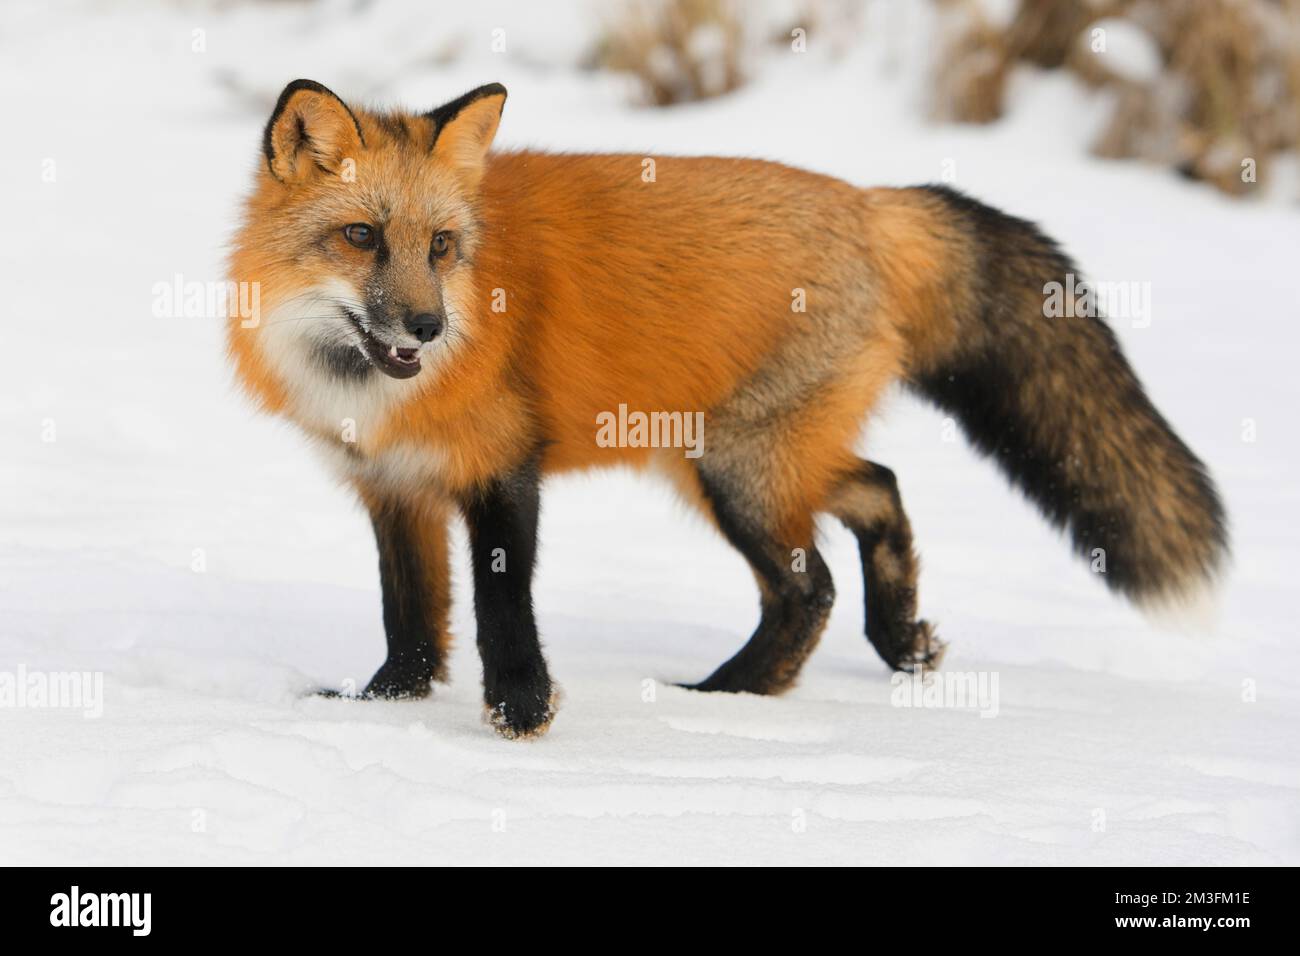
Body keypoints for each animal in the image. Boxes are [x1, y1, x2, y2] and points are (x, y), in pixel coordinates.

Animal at [227, 79, 1227, 739]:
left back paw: (721, 701)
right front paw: (383, 706)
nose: (429, 328)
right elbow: (410, 618)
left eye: (440, 246)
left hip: (734, 472)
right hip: (740, 458)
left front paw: (521, 712)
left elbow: (502, 609)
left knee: (810, 587)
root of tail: (872, 204)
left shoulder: (502, 471)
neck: (370, 391)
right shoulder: (392, 486)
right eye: (361, 236)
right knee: (880, 490)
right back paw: (898, 641)